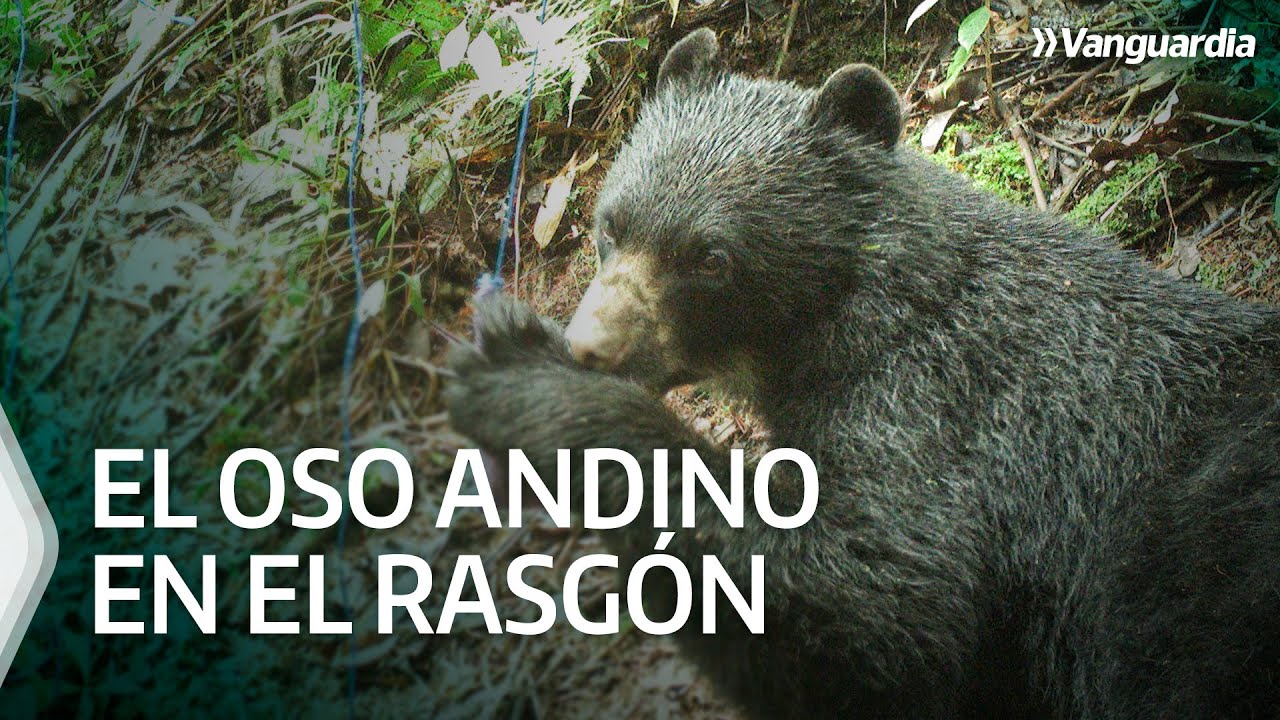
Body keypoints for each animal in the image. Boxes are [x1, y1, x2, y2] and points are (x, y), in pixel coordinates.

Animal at [445, 28, 1280, 720]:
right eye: (612, 225)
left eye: (710, 258)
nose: (593, 346)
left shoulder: (951, 407)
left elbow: (884, 607)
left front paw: (521, 373)